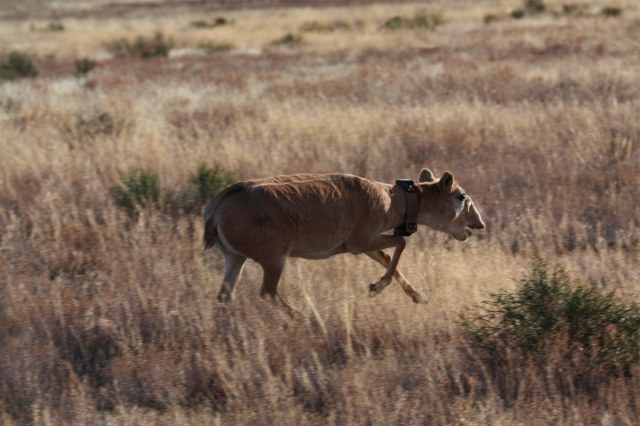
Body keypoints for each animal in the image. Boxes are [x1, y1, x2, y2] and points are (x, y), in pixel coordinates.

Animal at [203, 168, 485, 315]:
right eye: (461, 196)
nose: (478, 224)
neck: (394, 200)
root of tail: (217, 204)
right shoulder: (361, 242)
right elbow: (401, 245)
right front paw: (375, 287)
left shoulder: (367, 245)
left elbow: (389, 259)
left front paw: (417, 296)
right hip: (274, 258)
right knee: (268, 292)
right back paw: (310, 320)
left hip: (235, 258)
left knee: (225, 294)